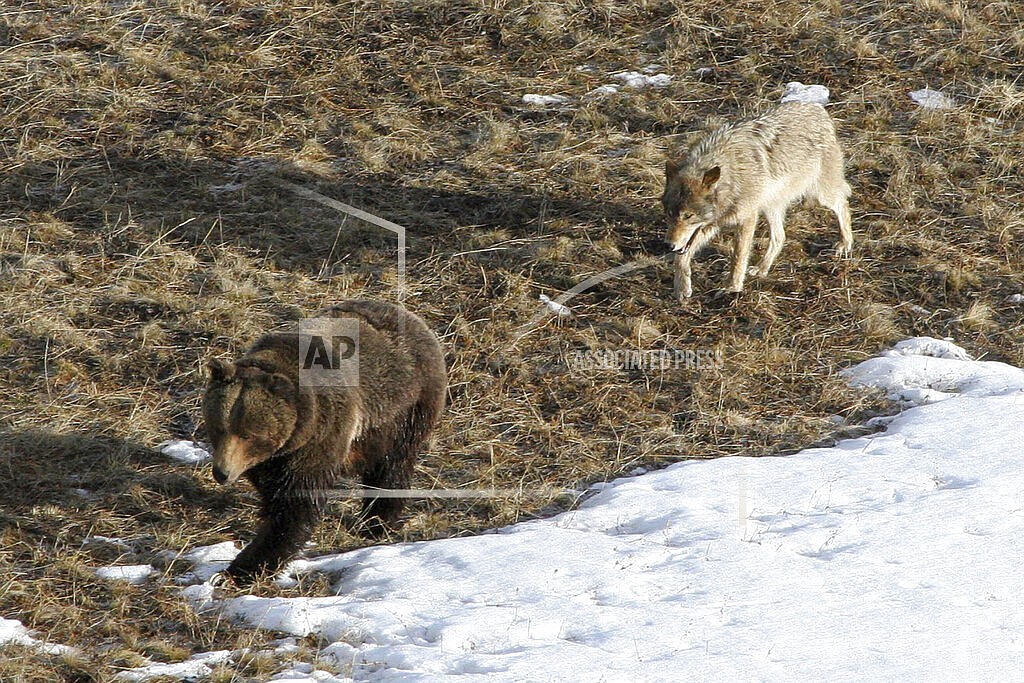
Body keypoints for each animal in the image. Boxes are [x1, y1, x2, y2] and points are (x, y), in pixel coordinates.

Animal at [202, 299, 447, 584]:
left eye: (248, 434)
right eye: (218, 427)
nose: (221, 472)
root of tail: (411, 317)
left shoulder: (321, 435)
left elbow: (295, 507)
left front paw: (243, 567)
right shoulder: (273, 458)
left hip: (404, 411)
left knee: (391, 467)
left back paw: (376, 522)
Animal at [661, 101, 853, 300]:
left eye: (688, 216)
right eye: (669, 214)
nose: (668, 245)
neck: (731, 177)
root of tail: (817, 108)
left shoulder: (747, 218)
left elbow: (738, 257)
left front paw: (732, 288)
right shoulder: (710, 225)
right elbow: (681, 257)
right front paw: (681, 287)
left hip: (821, 194)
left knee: (843, 204)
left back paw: (845, 243)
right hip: (770, 206)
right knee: (780, 236)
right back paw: (762, 269)